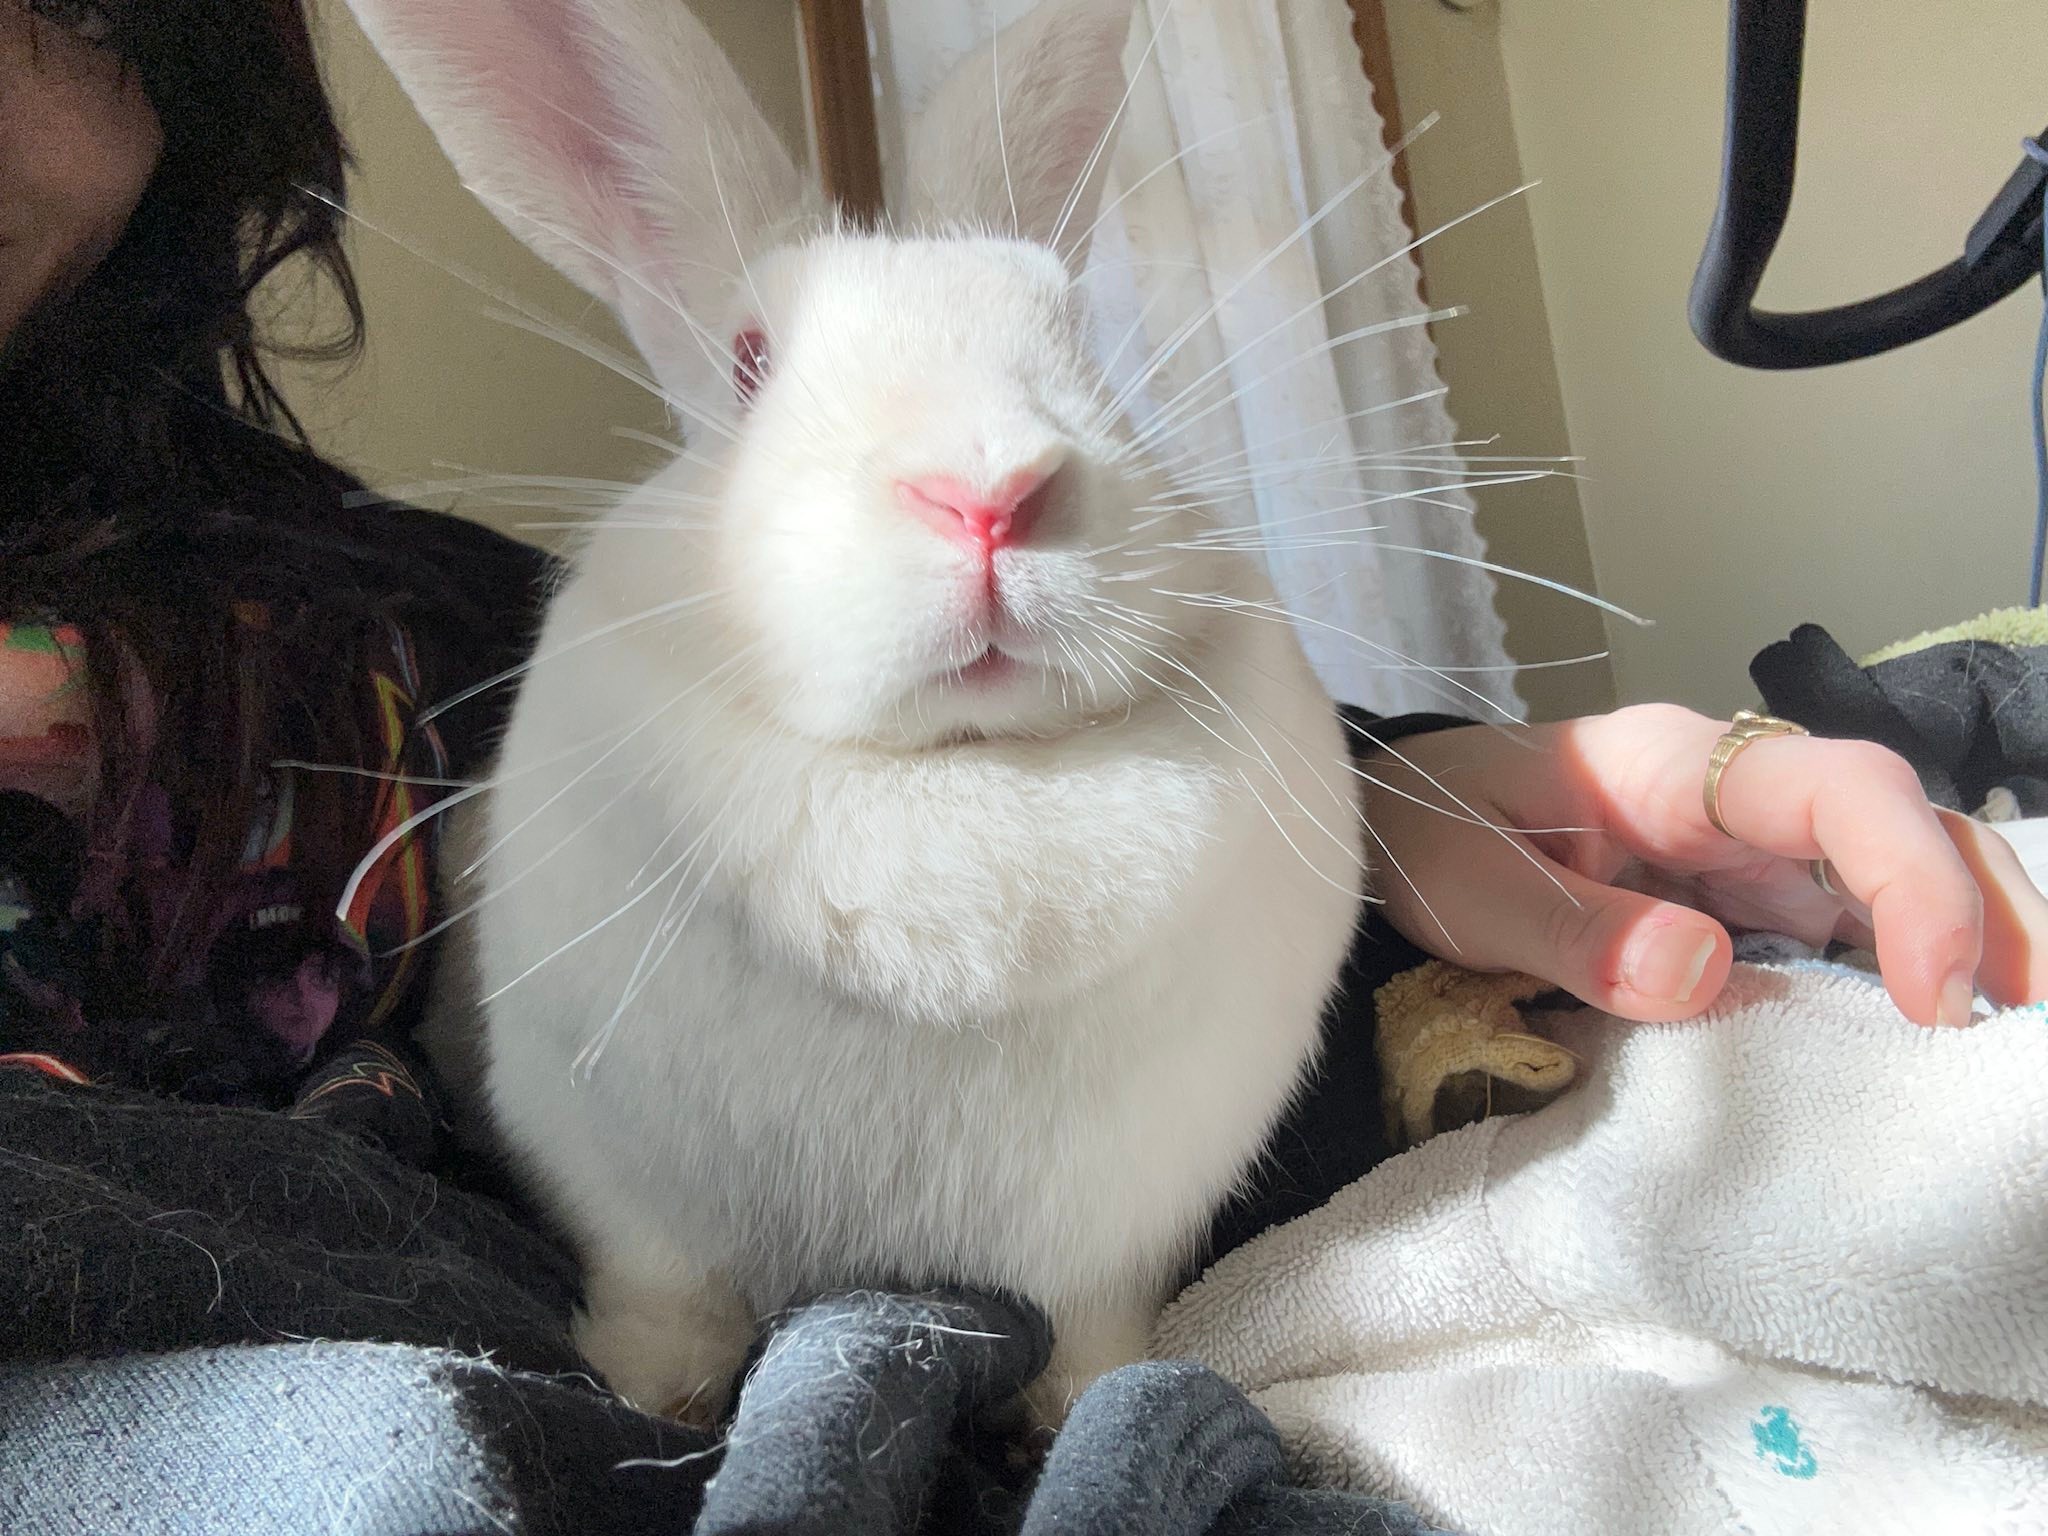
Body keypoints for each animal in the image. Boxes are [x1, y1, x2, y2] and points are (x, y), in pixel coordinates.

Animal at [347, 0, 1366, 1430]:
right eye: (748, 361)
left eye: (1076, 339)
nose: (988, 494)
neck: (948, 771)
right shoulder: (632, 1207)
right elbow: (666, 1309)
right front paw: (644, 1401)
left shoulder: (1110, 1249)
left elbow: (1094, 1339)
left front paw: (1088, 1408)